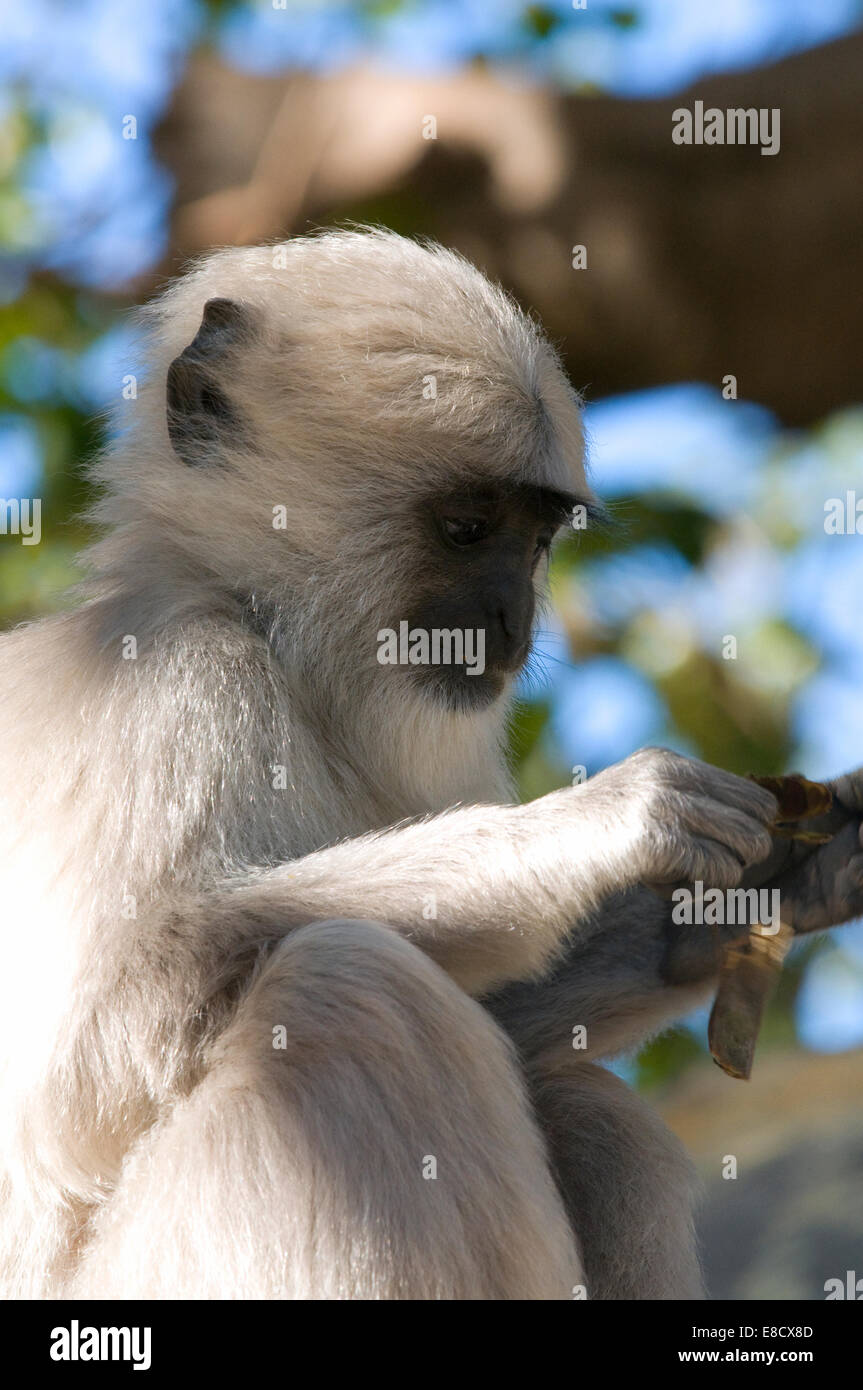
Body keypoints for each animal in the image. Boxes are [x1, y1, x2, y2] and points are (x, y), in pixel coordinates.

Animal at [1, 228, 862, 1299]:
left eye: (535, 538)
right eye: (466, 528)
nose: (512, 620)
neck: (274, 647)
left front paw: (760, 888)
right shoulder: (171, 671)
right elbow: (93, 1060)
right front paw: (612, 823)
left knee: (579, 1102)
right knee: (350, 987)